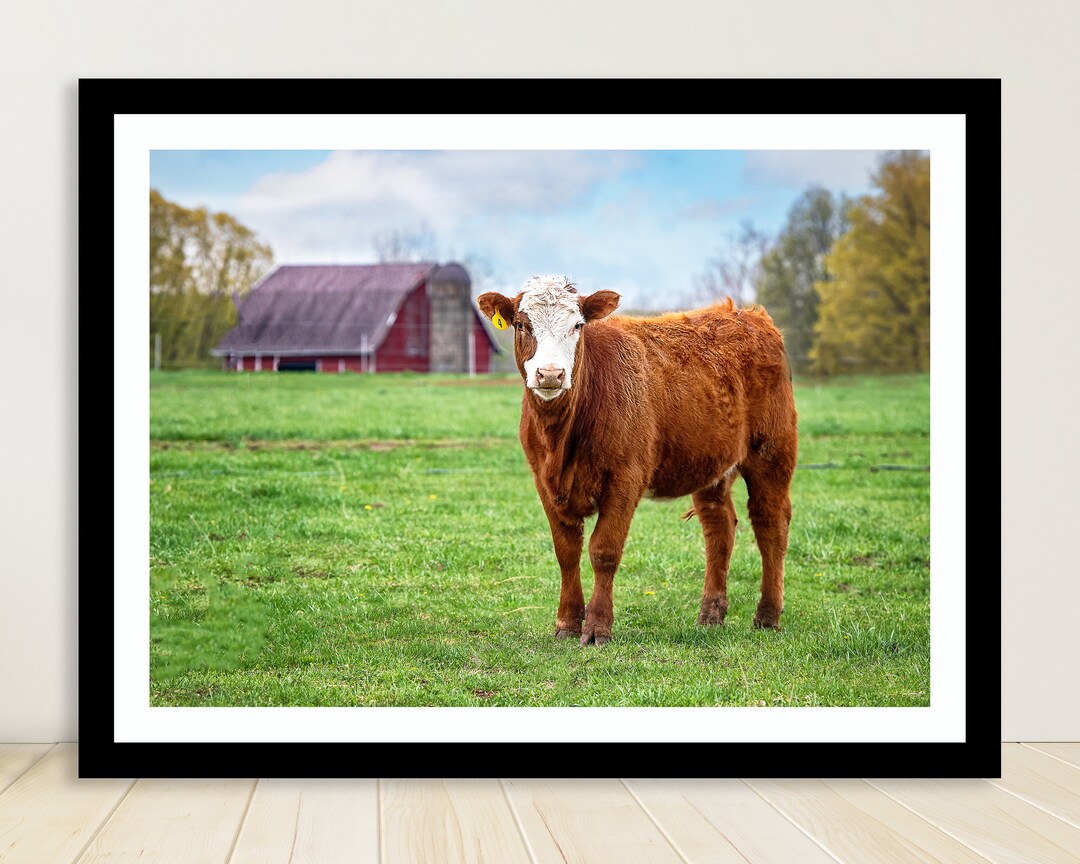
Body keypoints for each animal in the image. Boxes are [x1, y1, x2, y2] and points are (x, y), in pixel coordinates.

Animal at [478, 276, 798, 646]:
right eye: (521, 324)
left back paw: (768, 615)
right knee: (719, 528)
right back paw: (710, 614)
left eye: (577, 325)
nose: (551, 374)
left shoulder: (625, 478)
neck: (560, 440)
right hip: (711, 465)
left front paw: (597, 627)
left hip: (771, 453)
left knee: (770, 525)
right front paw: (567, 623)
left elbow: (604, 551)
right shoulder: (544, 481)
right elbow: (566, 552)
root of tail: (747, 314)